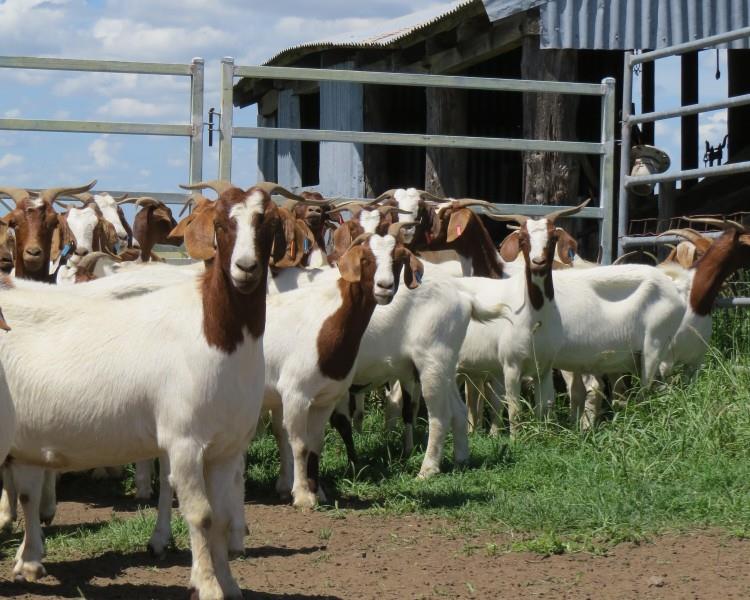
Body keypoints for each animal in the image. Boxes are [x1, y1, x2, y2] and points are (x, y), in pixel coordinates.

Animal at [0, 180, 318, 598]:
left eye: (266, 223)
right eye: (221, 224)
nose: (246, 268)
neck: (216, 335)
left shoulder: (226, 448)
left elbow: (222, 516)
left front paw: (228, 583)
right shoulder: (184, 442)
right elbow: (201, 516)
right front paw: (207, 585)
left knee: (29, 490)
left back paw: (29, 562)